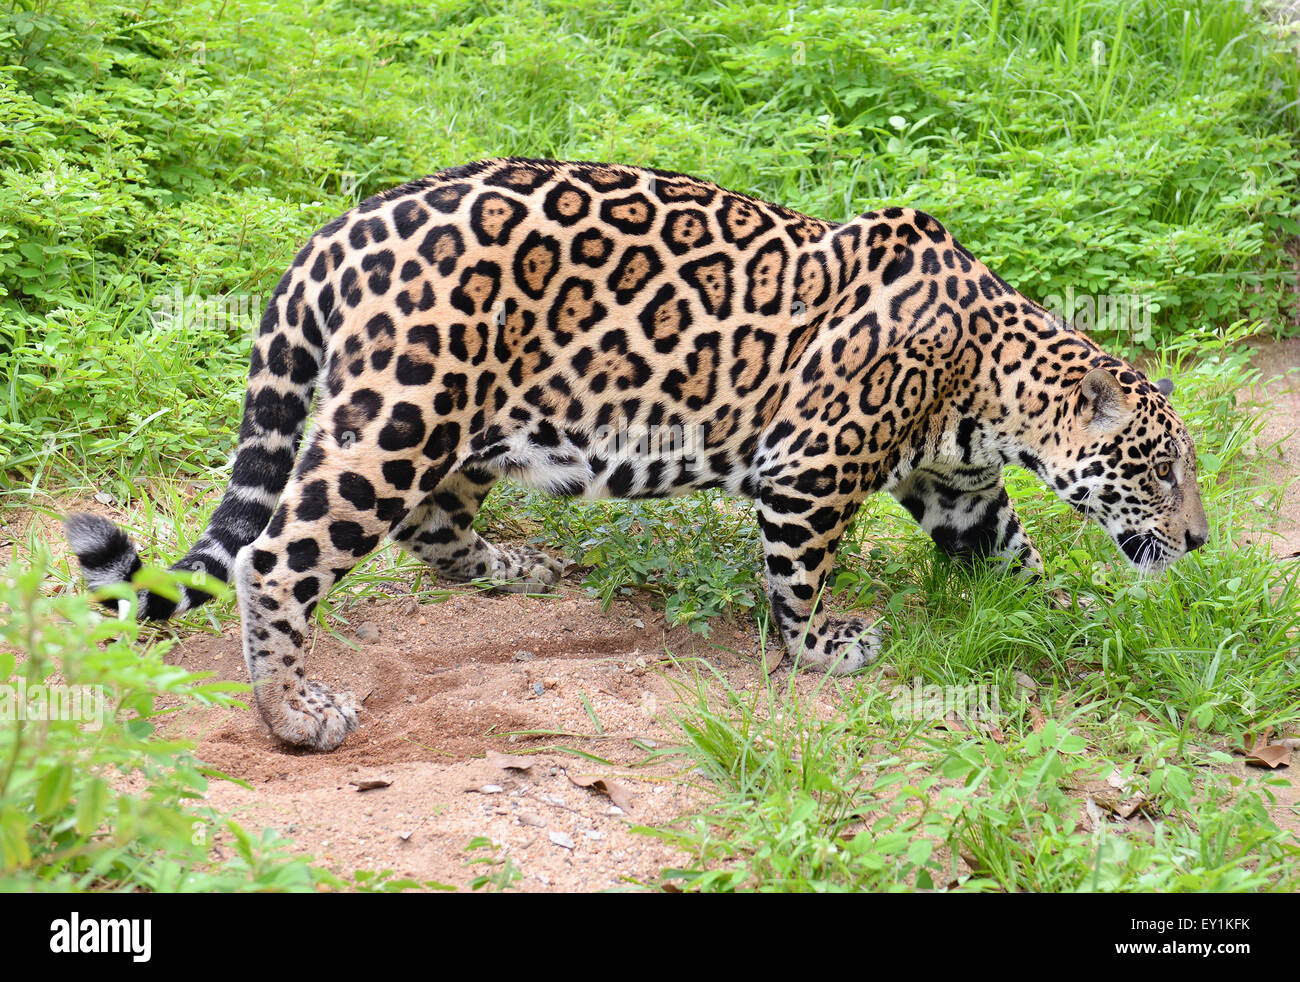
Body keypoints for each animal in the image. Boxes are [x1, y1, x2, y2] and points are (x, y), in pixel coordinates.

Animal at [65, 157, 1209, 752]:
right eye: (1159, 469)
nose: (1199, 540)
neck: (989, 382)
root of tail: (332, 235)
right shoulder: (812, 470)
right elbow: (799, 580)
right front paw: (823, 648)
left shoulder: (958, 488)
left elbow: (1017, 558)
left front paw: (1085, 623)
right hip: (397, 417)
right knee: (278, 555)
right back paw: (296, 712)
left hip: (467, 421)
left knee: (435, 527)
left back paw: (515, 569)